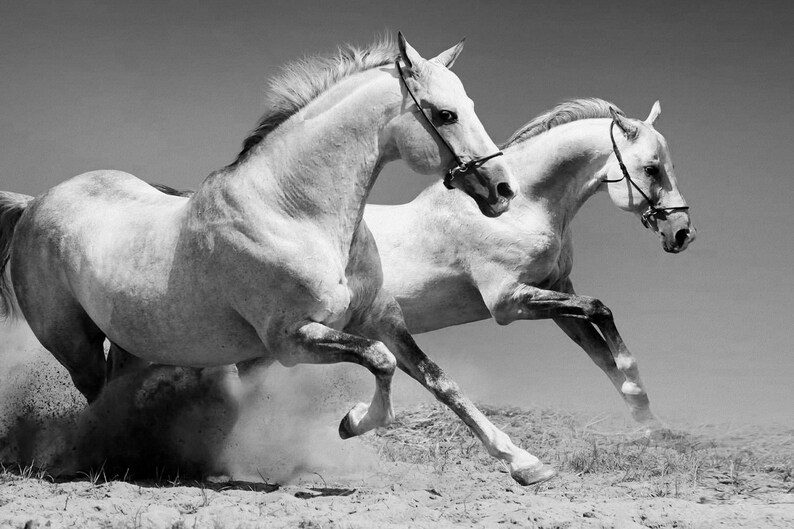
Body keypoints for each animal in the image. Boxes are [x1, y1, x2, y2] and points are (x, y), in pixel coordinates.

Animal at [0, 34, 567, 487]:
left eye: (468, 104)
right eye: (445, 114)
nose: (503, 191)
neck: (295, 212)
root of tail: (34, 203)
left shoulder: (382, 319)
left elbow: (439, 381)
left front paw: (526, 464)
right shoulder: (293, 339)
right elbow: (380, 363)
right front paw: (351, 422)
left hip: (130, 344)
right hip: (74, 346)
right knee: (93, 398)